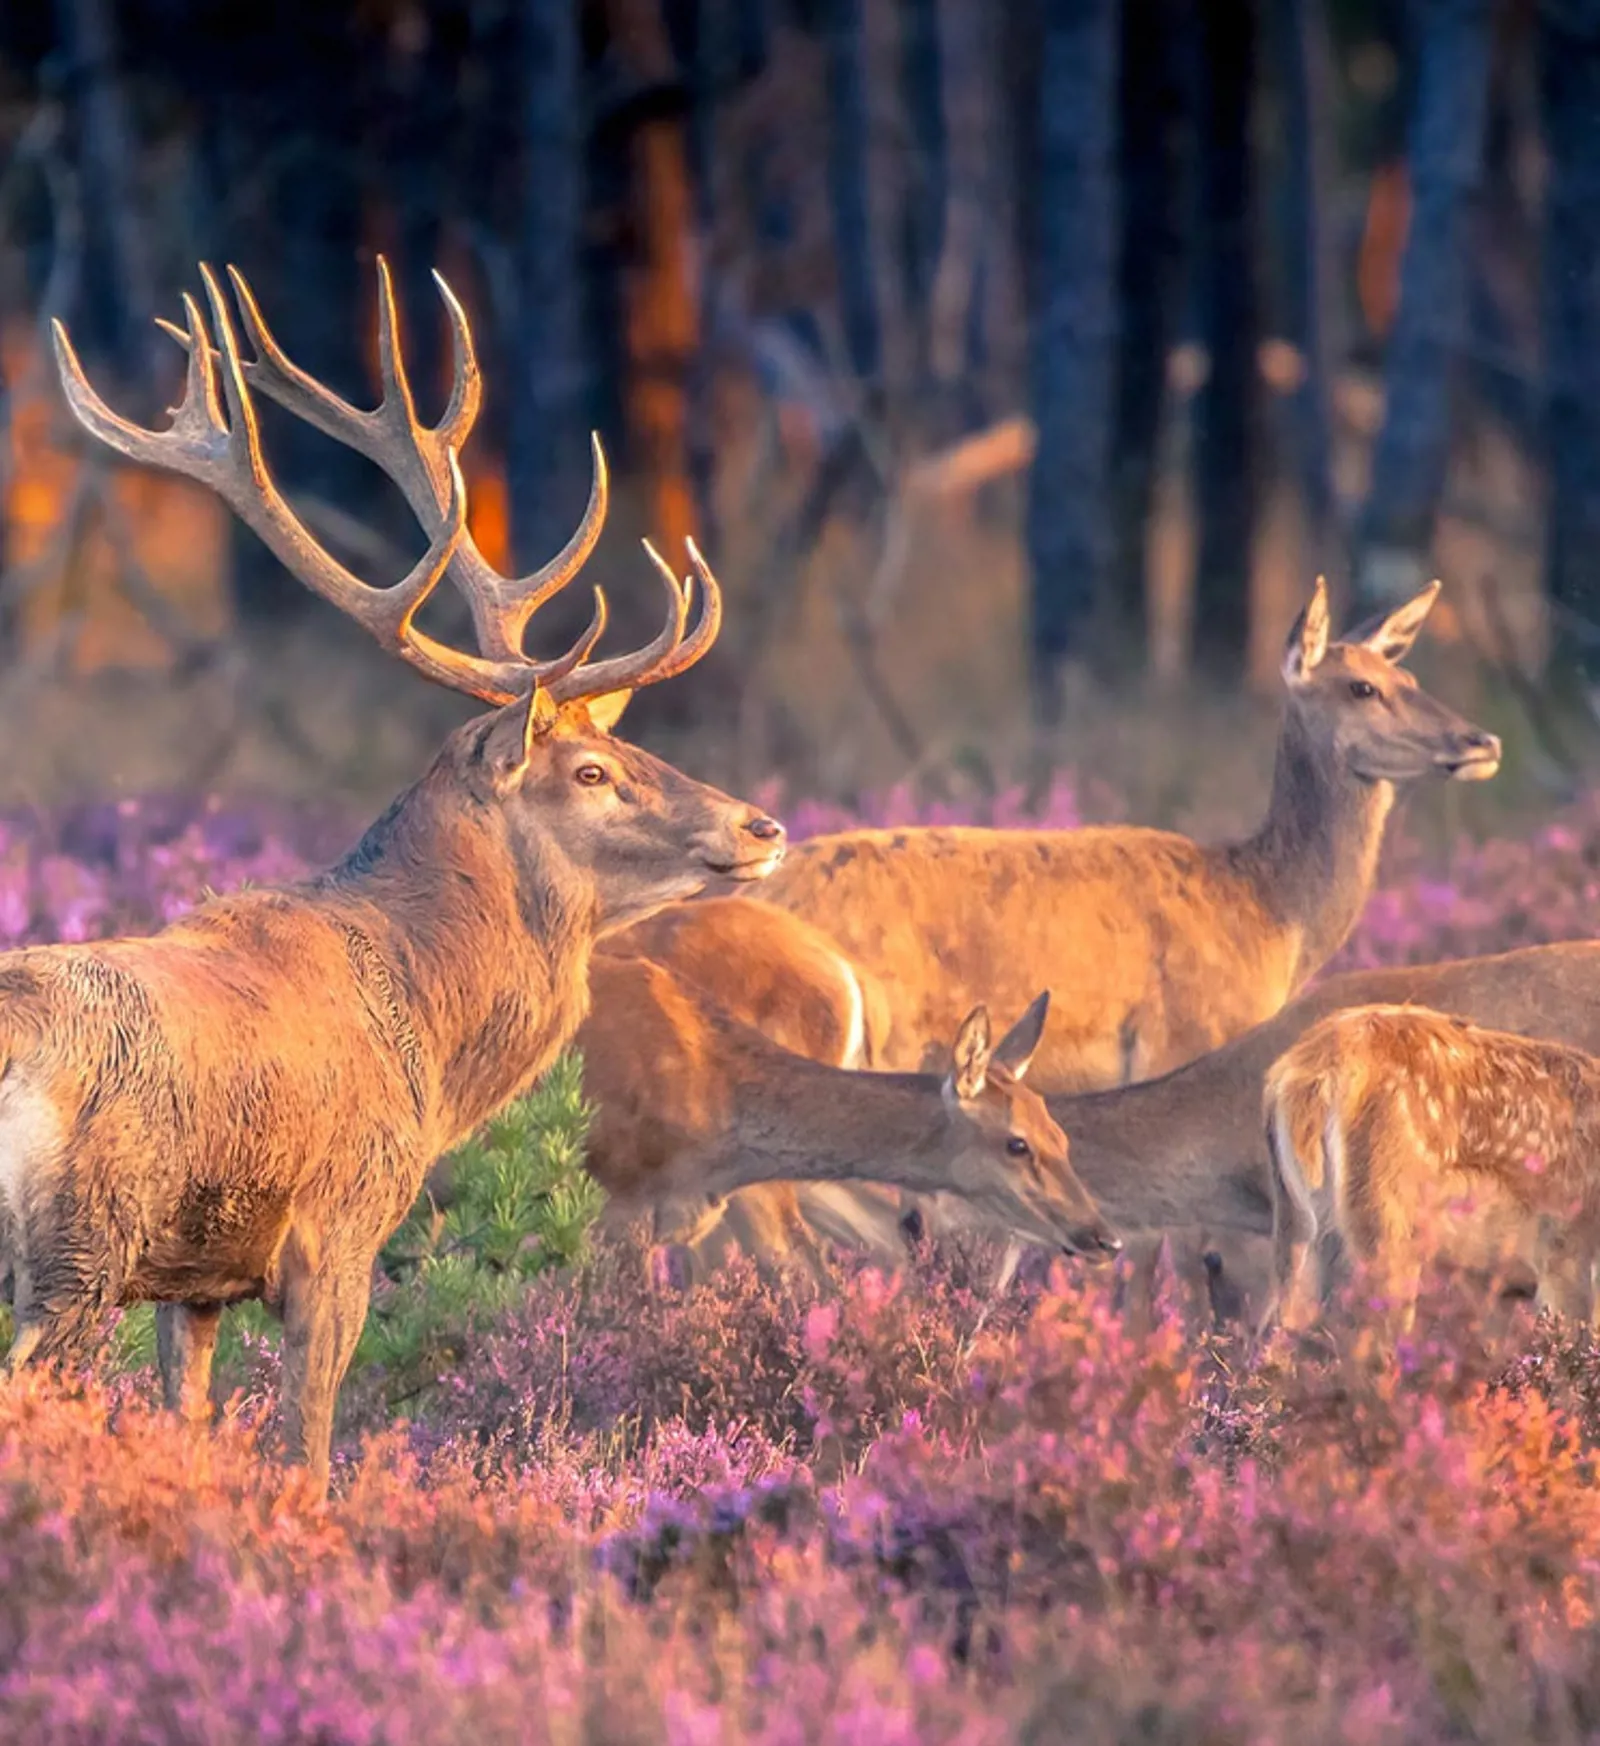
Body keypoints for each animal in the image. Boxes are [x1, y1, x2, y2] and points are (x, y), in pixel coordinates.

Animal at [23, 258, 787, 1492]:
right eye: (590, 770)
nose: (762, 826)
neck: (430, 1028)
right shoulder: (340, 1224)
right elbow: (307, 1444)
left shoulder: (193, 1281)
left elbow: (190, 1422)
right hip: (74, 1252)